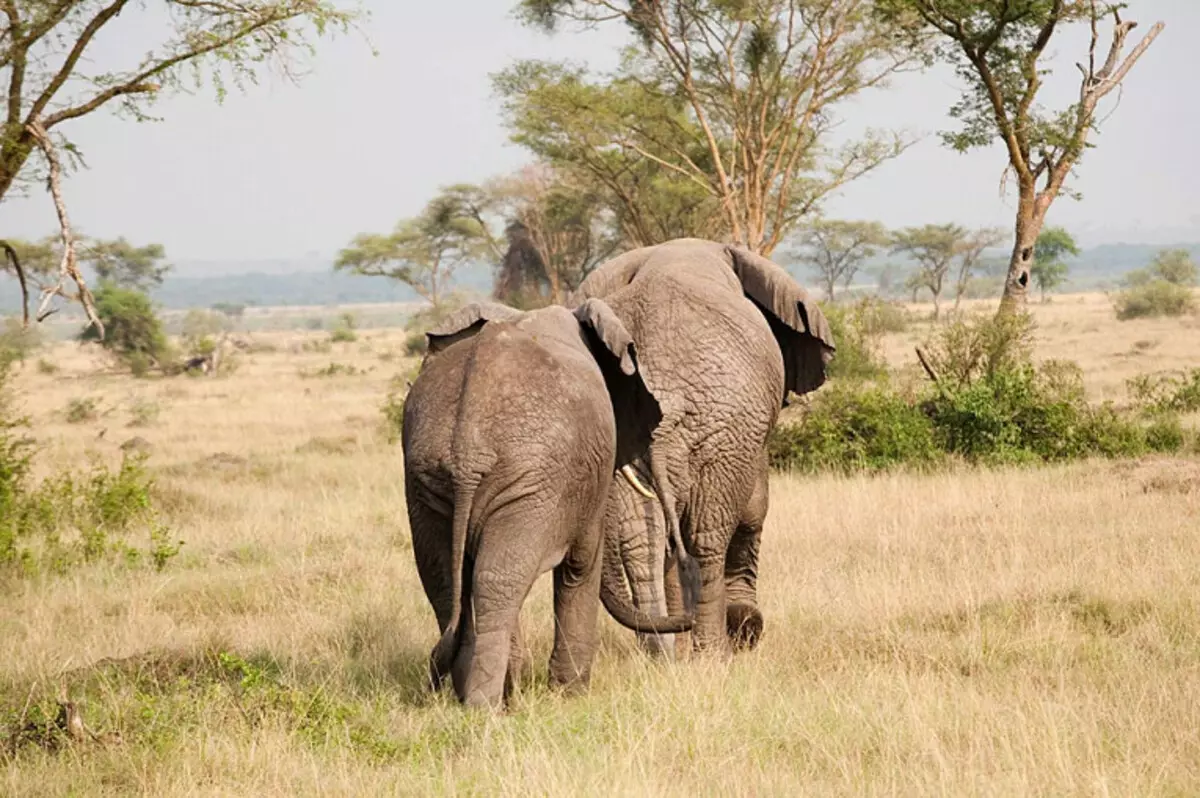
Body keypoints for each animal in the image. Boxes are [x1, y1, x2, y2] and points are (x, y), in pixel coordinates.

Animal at [400, 300, 696, 710]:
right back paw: (486, 708)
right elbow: (581, 566)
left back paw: (480, 696)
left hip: (430, 479)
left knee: (446, 580)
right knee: (498, 578)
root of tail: (466, 450)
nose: (690, 620)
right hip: (530, 480)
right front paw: (571, 694)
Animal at [571, 237, 835, 657]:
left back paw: (665, 656)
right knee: (706, 537)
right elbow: (755, 506)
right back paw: (712, 654)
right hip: (723, 432)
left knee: (640, 540)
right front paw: (746, 627)